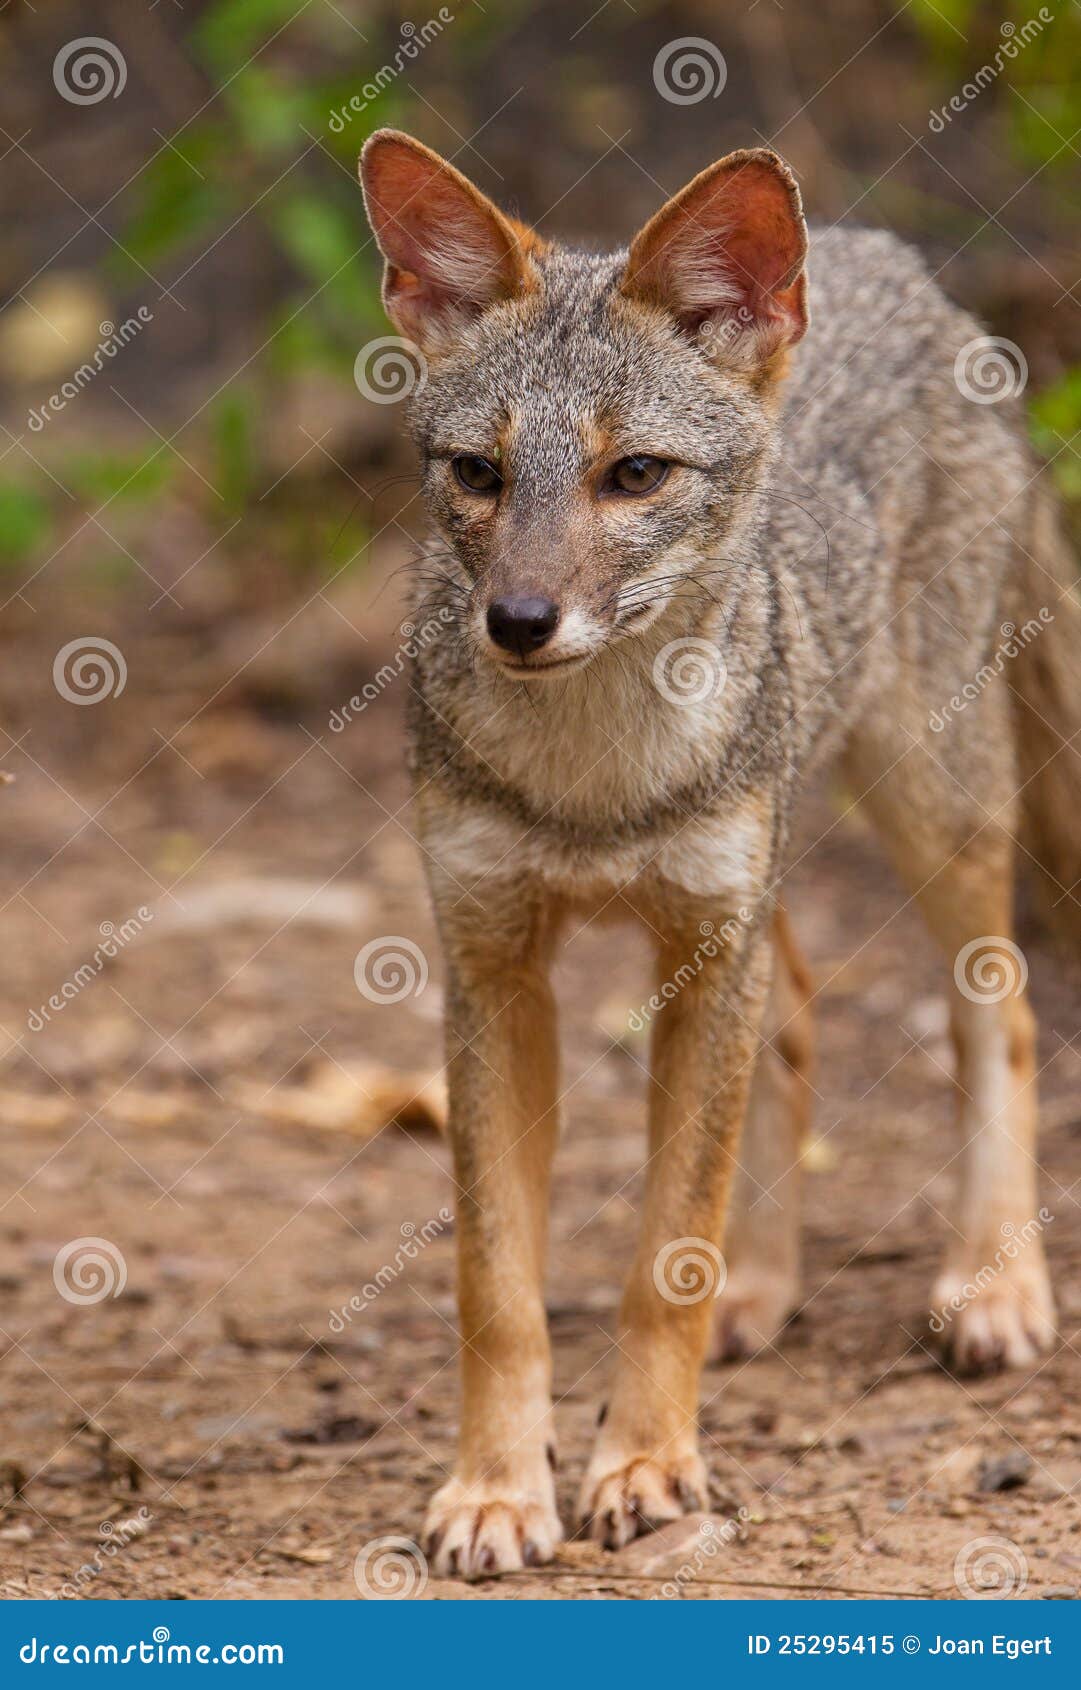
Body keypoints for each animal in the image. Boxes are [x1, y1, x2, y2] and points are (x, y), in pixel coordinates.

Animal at [357, 129, 1081, 1579]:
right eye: (476, 473)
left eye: (633, 475)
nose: (520, 620)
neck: (590, 780)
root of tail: (896, 261)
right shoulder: (494, 970)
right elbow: (499, 1285)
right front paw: (494, 1490)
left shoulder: (700, 944)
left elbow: (660, 1255)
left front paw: (644, 1466)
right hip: (768, 888)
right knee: (796, 1014)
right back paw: (765, 1285)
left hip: (924, 807)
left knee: (1005, 1012)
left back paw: (990, 1286)